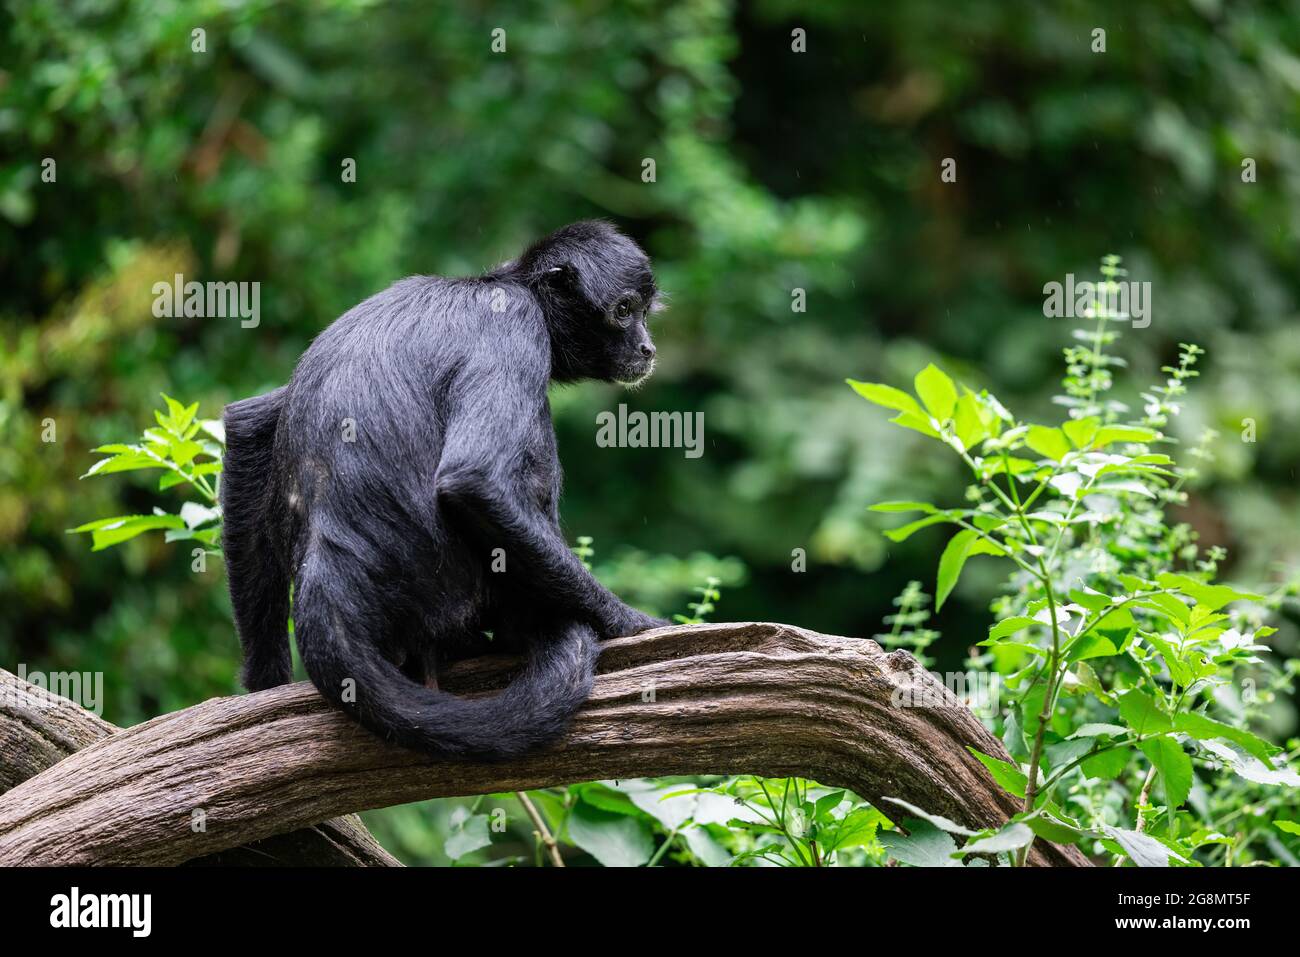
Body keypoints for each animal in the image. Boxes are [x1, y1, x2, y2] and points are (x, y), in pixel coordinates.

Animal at [220, 221, 667, 760]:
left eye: (643, 312)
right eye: (624, 311)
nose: (647, 348)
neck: (504, 285)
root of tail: (327, 576)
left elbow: (248, 422)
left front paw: (264, 682)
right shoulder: (514, 329)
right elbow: (474, 480)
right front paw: (633, 621)